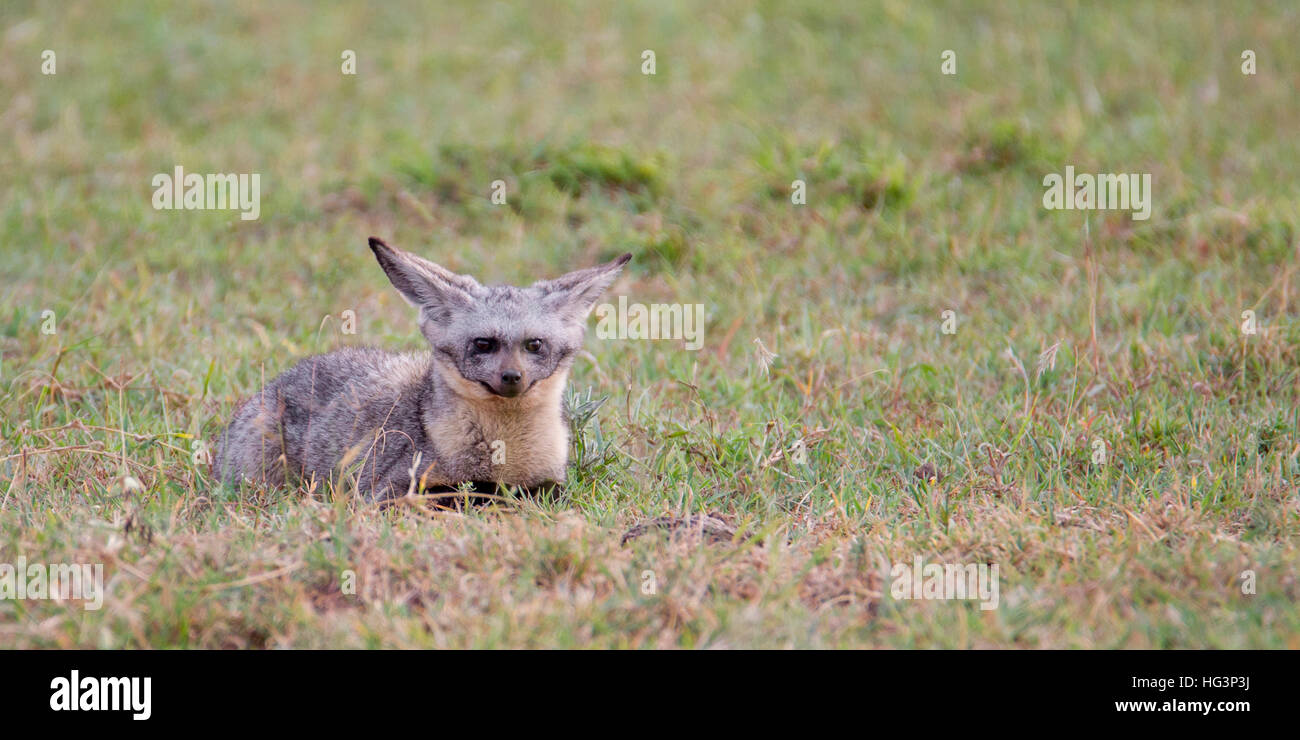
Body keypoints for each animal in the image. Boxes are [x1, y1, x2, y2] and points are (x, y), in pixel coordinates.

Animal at [214, 237, 630, 501]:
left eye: (535, 345)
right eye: (483, 344)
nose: (512, 378)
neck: (503, 453)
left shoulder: (549, 483)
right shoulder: (388, 491)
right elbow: (462, 495)